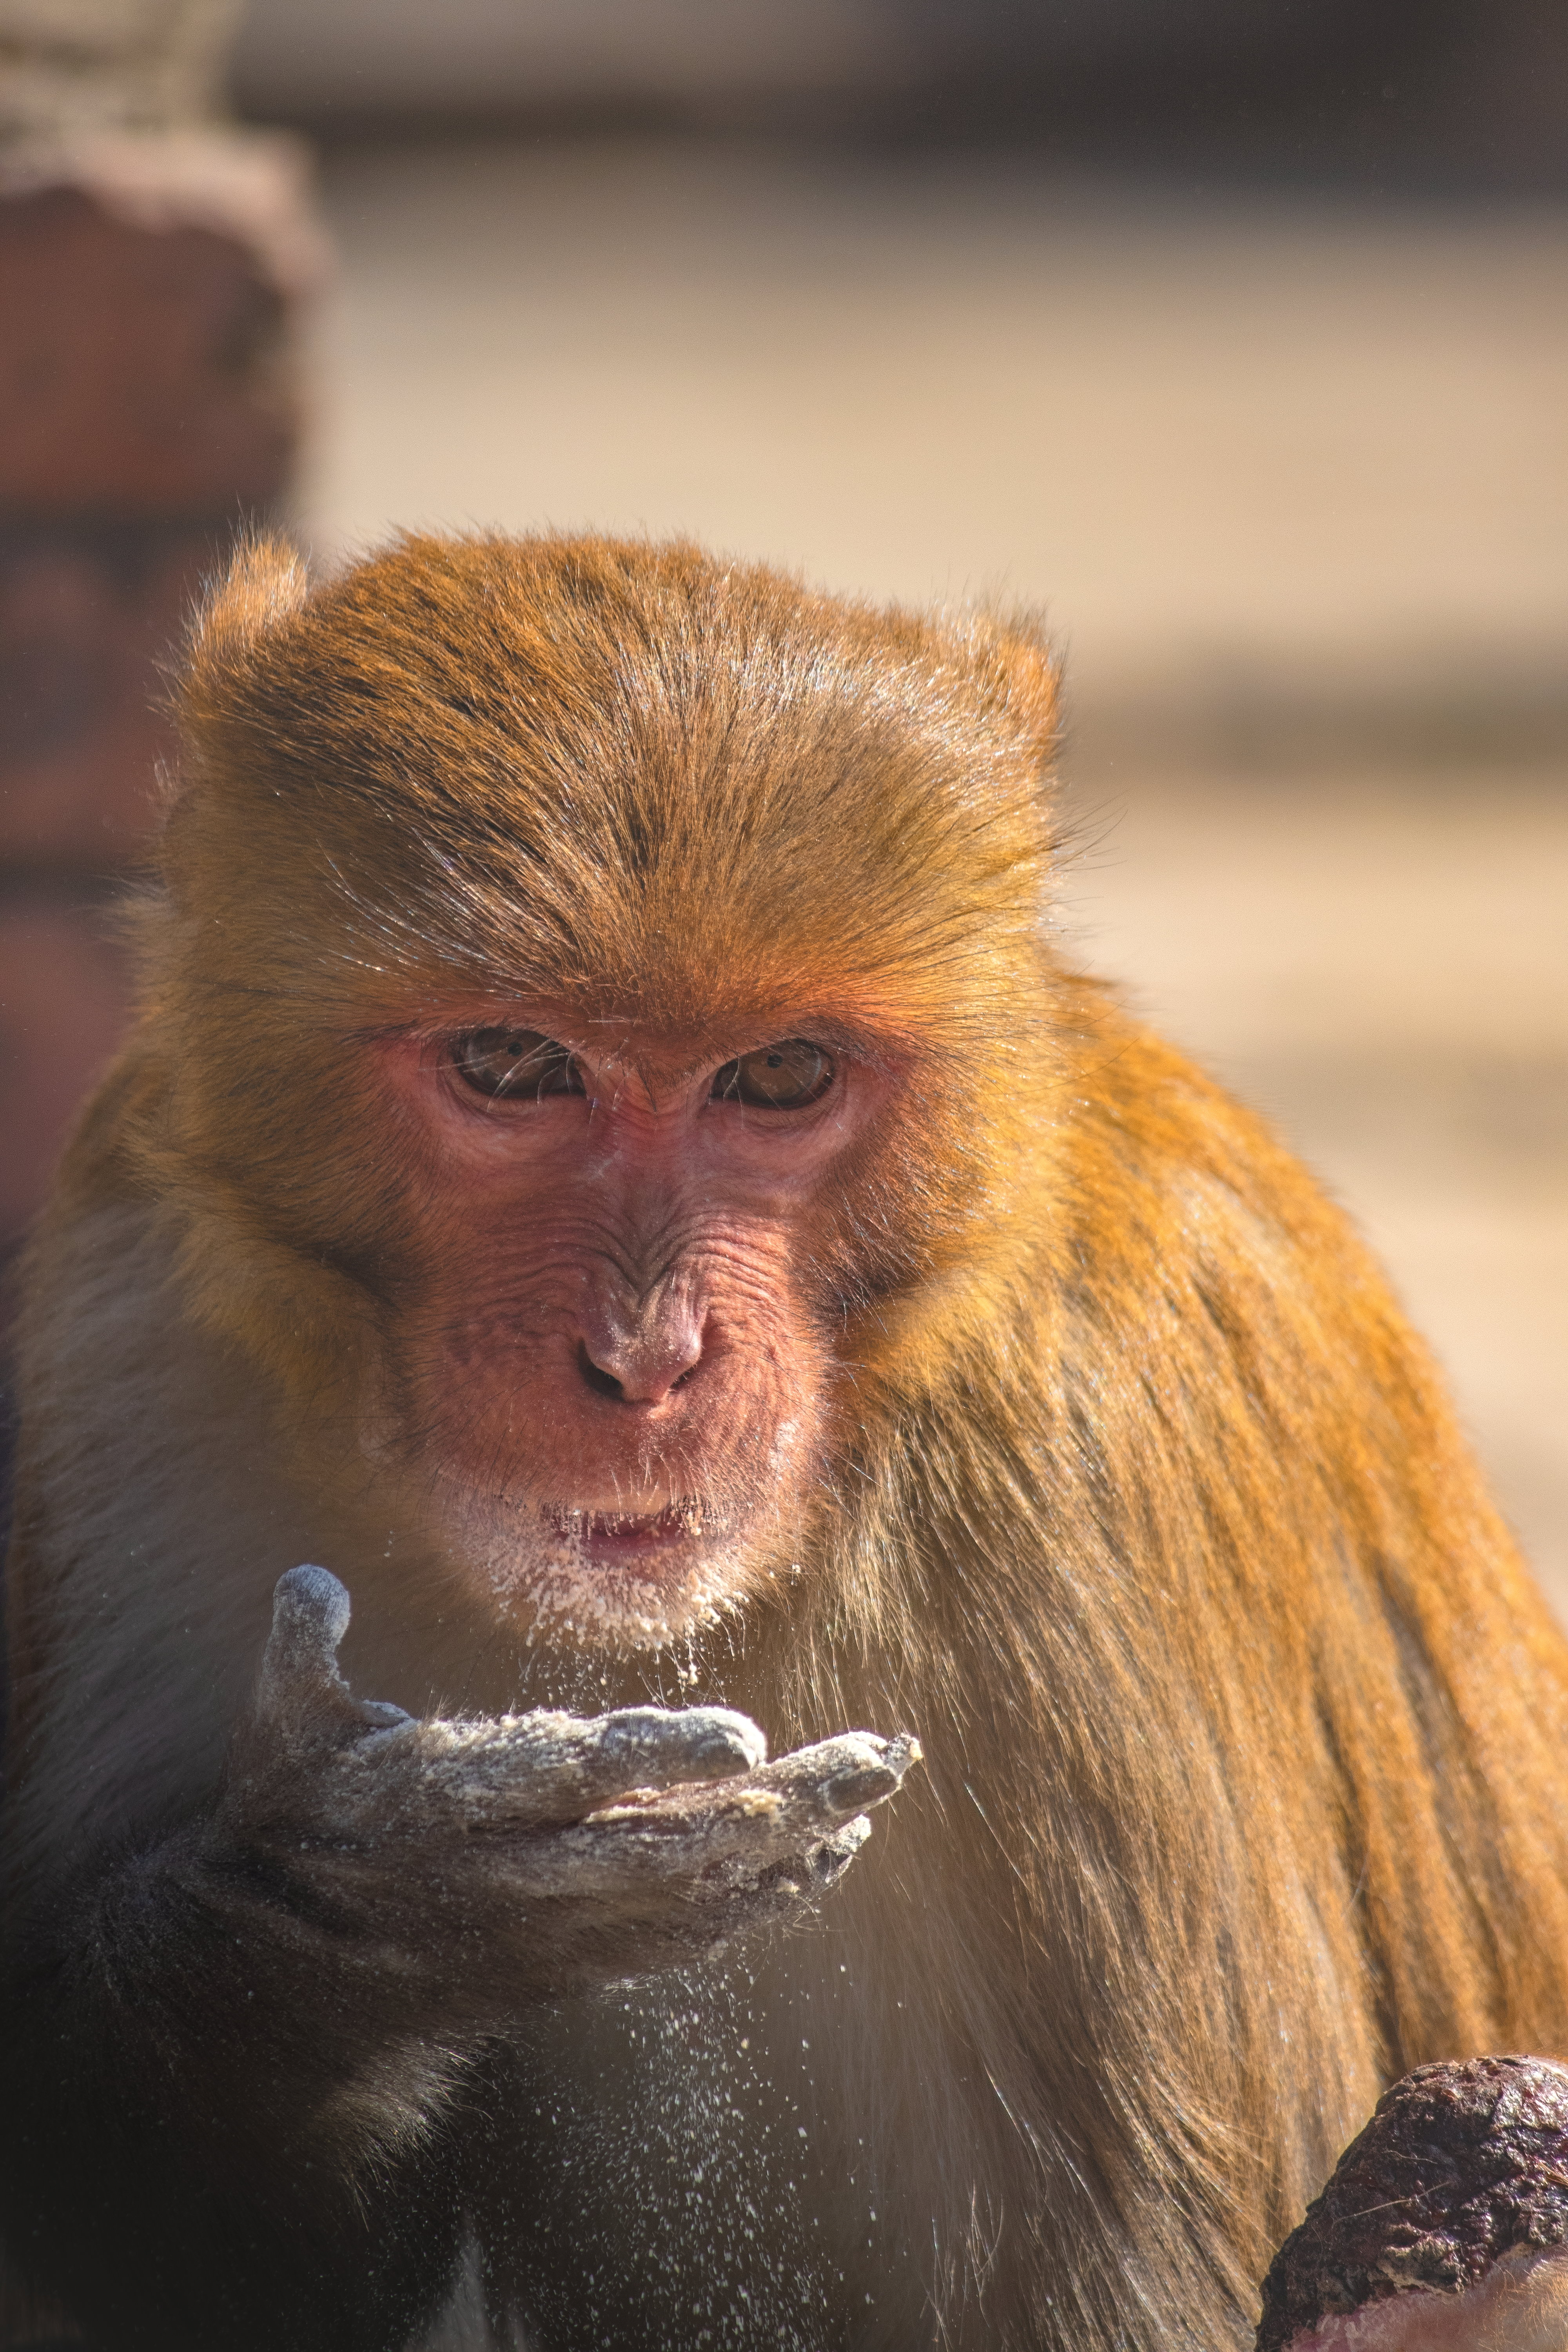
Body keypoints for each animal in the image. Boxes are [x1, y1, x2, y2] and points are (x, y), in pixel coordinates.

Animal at [4, 529, 1568, 2352]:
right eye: (514, 1064)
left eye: (780, 1076)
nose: (649, 1355)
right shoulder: (136, 1313)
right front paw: (369, 1908)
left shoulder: (1083, 1473)